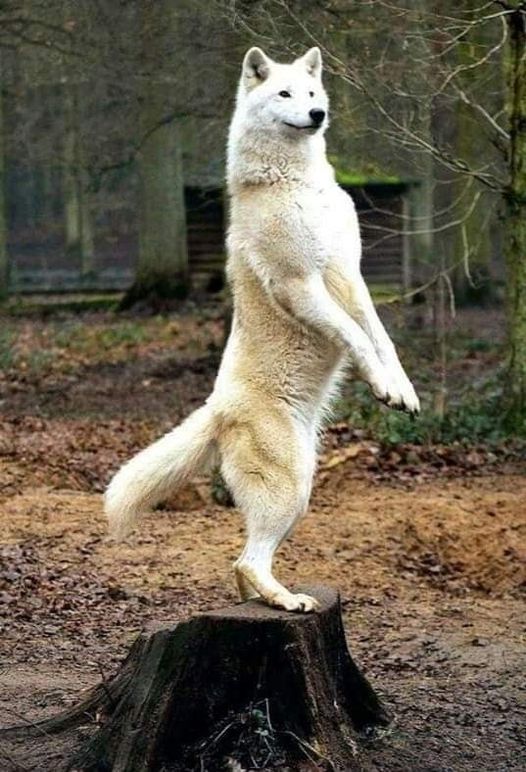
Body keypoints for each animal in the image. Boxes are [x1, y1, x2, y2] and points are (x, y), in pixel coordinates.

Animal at [105, 47, 419, 612]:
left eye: (312, 93)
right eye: (284, 94)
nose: (317, 114)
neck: (296, 182)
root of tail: (216, 410)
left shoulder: (351, 275)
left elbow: (379, 336)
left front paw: (401, 391)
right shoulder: (302, 285)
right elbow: (356, 337)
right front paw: (382, 386)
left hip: (302, 489)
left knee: (242, 566)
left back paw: (269, 599)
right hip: (289, 489)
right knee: (245, 559)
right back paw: (288, 601)